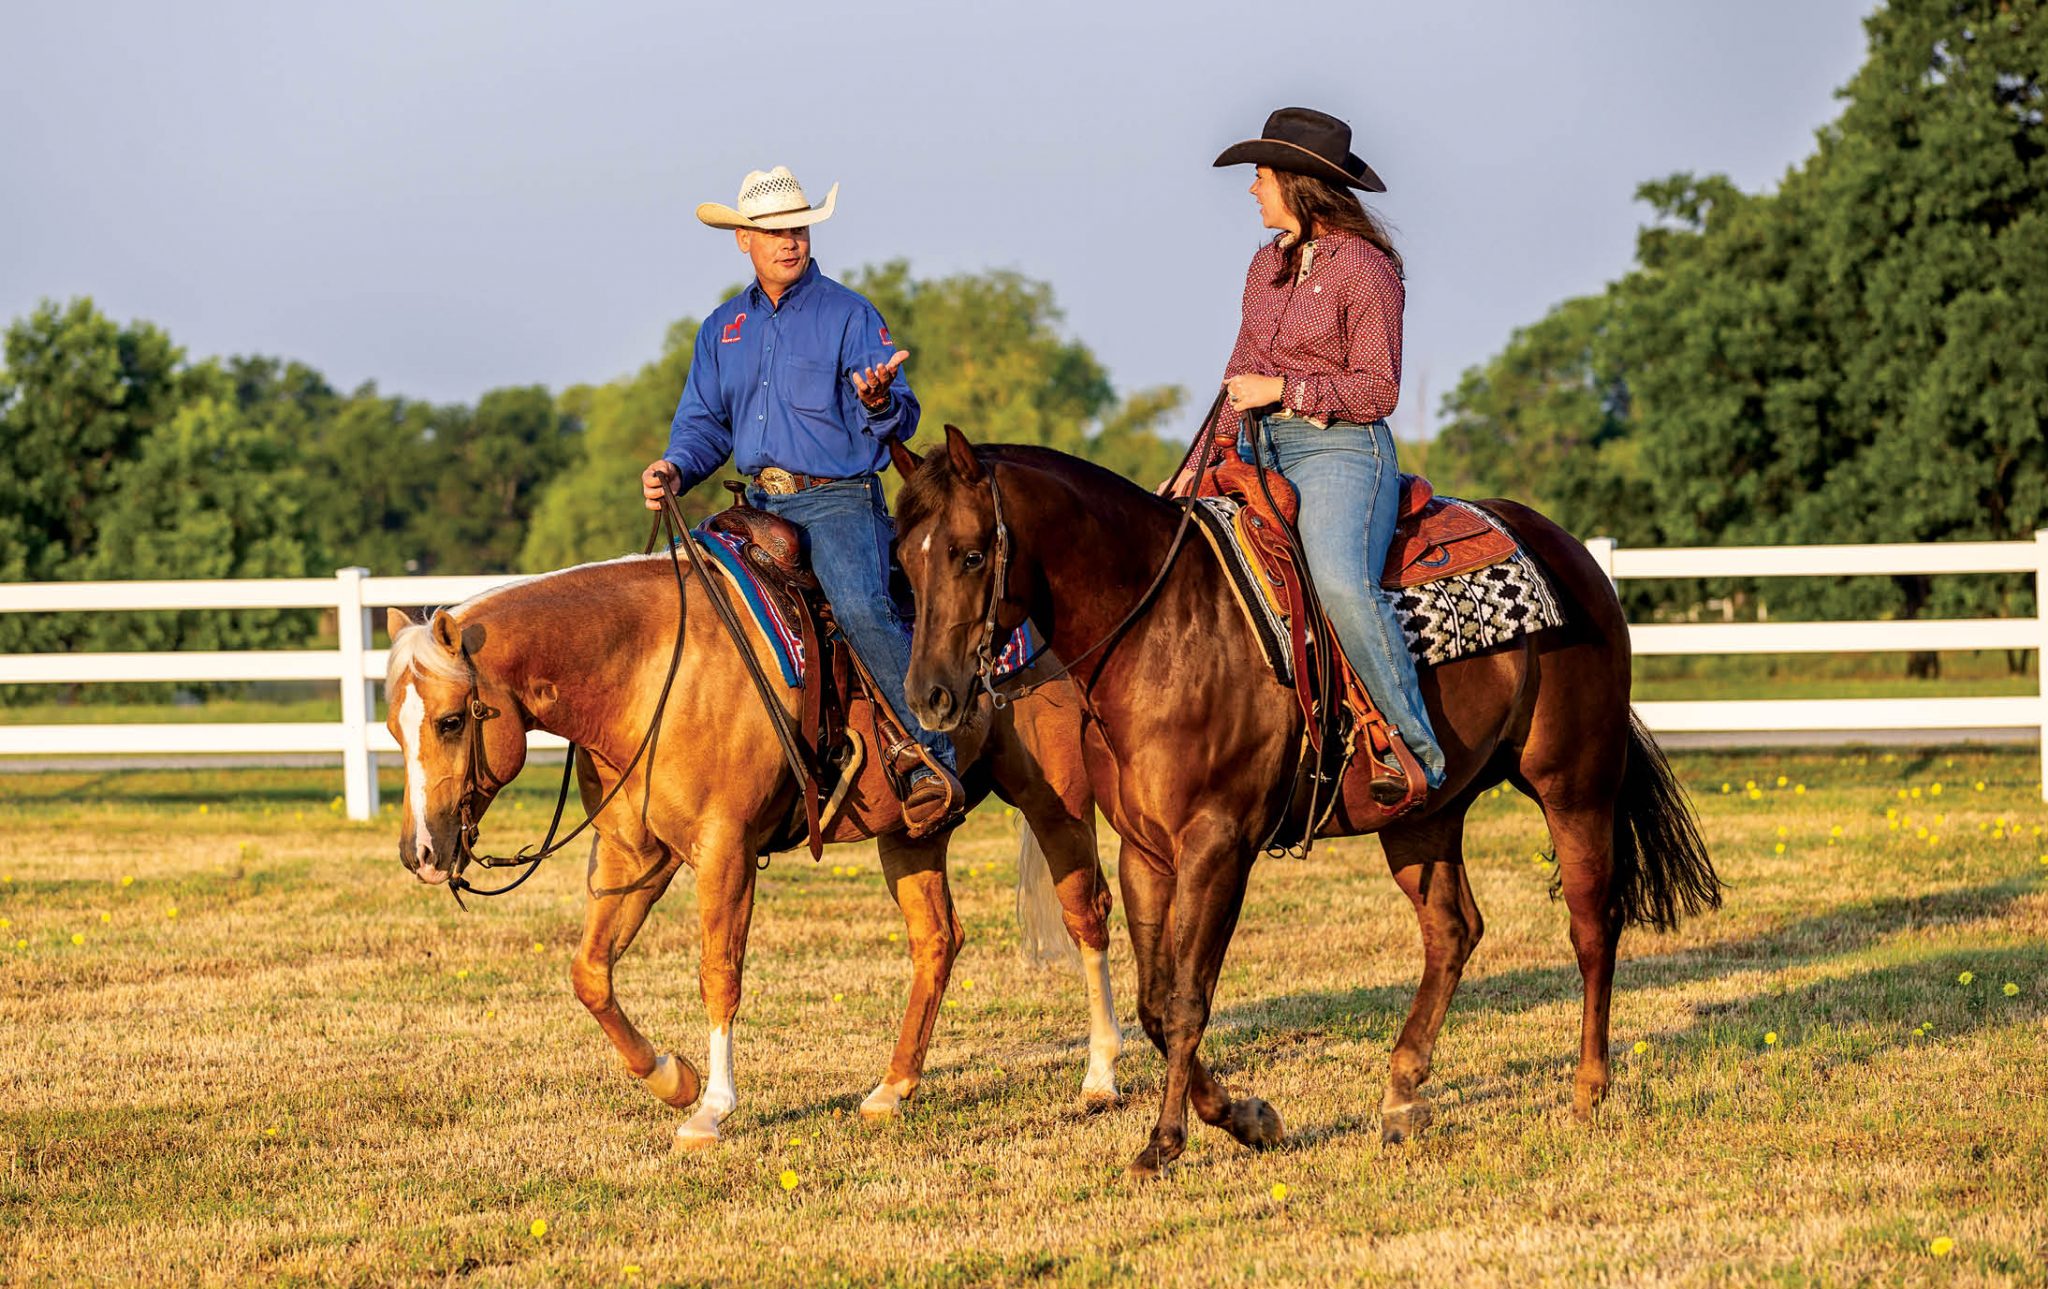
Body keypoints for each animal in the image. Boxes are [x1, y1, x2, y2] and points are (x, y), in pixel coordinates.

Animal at [382, 545, 1124, 1147]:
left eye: (451, 721)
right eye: (392, 726)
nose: (422, 853)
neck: (650, 672)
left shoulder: (725, 850)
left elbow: (719, 971)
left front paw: (711, 1107)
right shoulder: (634, 856)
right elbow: (590, 973)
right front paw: (671, 1077)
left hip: (1055, 798)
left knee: (1085, 913)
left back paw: (1101, 1075)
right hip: (913, 833)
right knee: (938, 939)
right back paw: (893, 1088)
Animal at [890, 427, 1721, 1179]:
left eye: (970, 552)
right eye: (903, 562)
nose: (930, 695)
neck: (1161, 631)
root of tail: (1571, 553)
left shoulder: (1219, 845)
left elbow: (1187, 999)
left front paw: (1166, 1143)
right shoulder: (1144, 852)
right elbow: (1156, 1002)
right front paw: (1247, 1117)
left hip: (1574, 783)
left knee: (1591, 924)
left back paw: (1588, 1088)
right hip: (1424, 814)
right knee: (1453, 930)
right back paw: (1402, 1095)